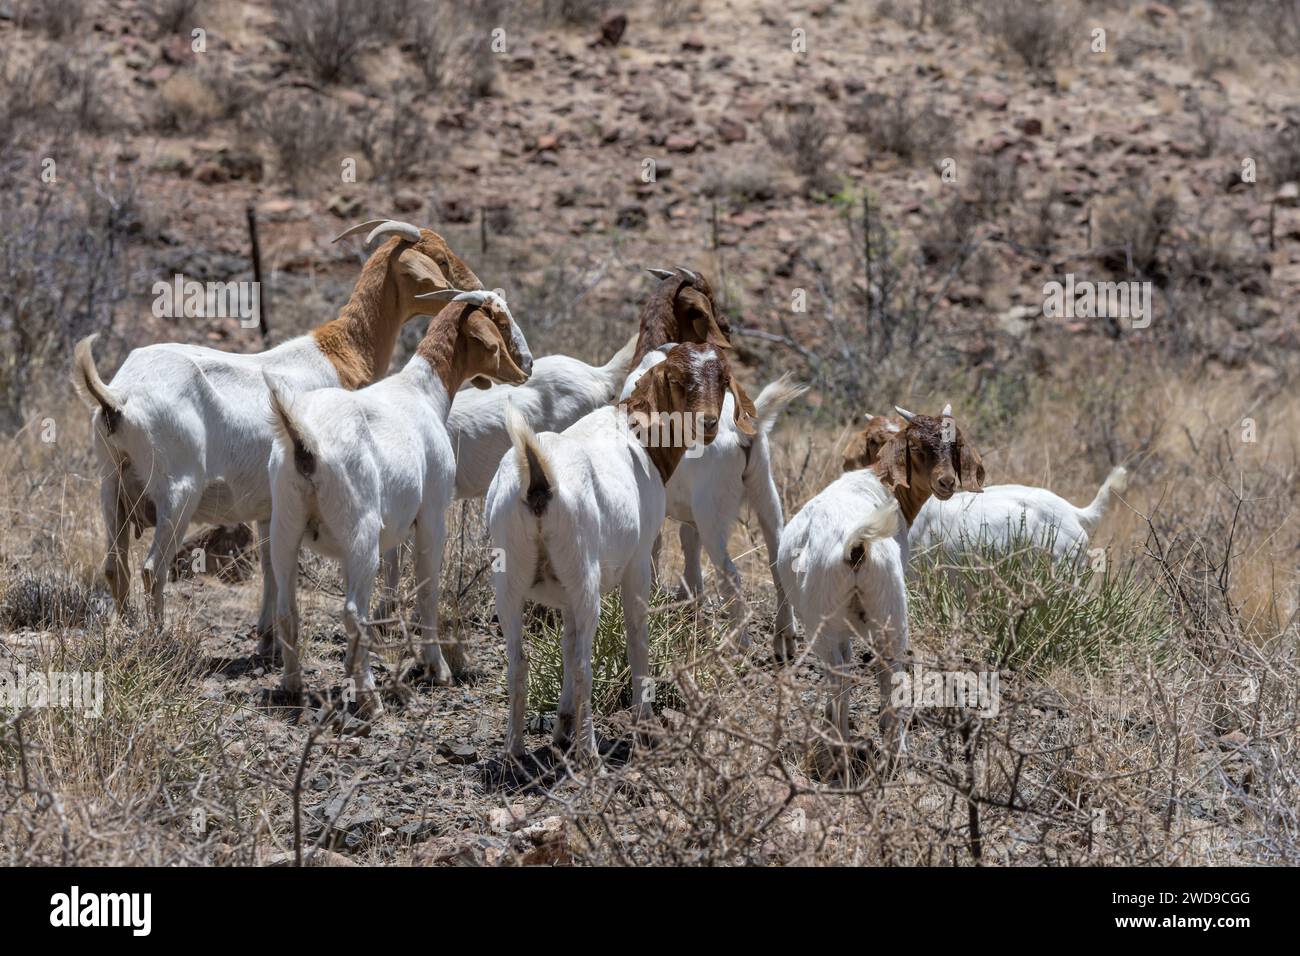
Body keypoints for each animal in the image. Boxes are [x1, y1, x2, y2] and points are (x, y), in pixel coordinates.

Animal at [73, 218, 487, 633]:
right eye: (442, 259)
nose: (477, 290)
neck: (342, 352)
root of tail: (119, 398)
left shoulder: (268, 506)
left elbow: (271, 568)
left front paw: (266, 631)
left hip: (110, 486)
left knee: (115, 567)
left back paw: (127, 630)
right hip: (178, 491)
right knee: (151, 570)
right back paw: (159, 636)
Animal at [264, 290, 533, 716]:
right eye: (501, 324)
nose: (526, 368)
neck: (422, 393)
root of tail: (304, 442)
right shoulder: (433, 515)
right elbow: (427, 590)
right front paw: (437, 668)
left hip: (286, 528)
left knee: (288, 609)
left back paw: (294, 685)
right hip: (361, 530)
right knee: (352, 613)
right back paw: (371, 699)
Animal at [488, 342, 754, 759]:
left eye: (724, 378)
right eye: (676, 378)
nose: (709, 423)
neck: (638, 439)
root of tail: (539, 483)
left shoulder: (564, 597)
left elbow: (565, 645)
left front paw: (562, 726)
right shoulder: (639, 563)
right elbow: (636, 636)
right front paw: (643, 720)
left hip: (511, 582)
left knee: (519, 662)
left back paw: (515, 750)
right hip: (585, 581)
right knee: (584, 667)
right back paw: (590, 754)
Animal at [778, 405, 984, 749]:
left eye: (953, 443)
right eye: (915, 445)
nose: (946, 482)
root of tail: (855, 543)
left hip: (833, 615)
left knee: (848, 669)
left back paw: (844, 738)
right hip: (883, 607)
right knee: (884, 667)